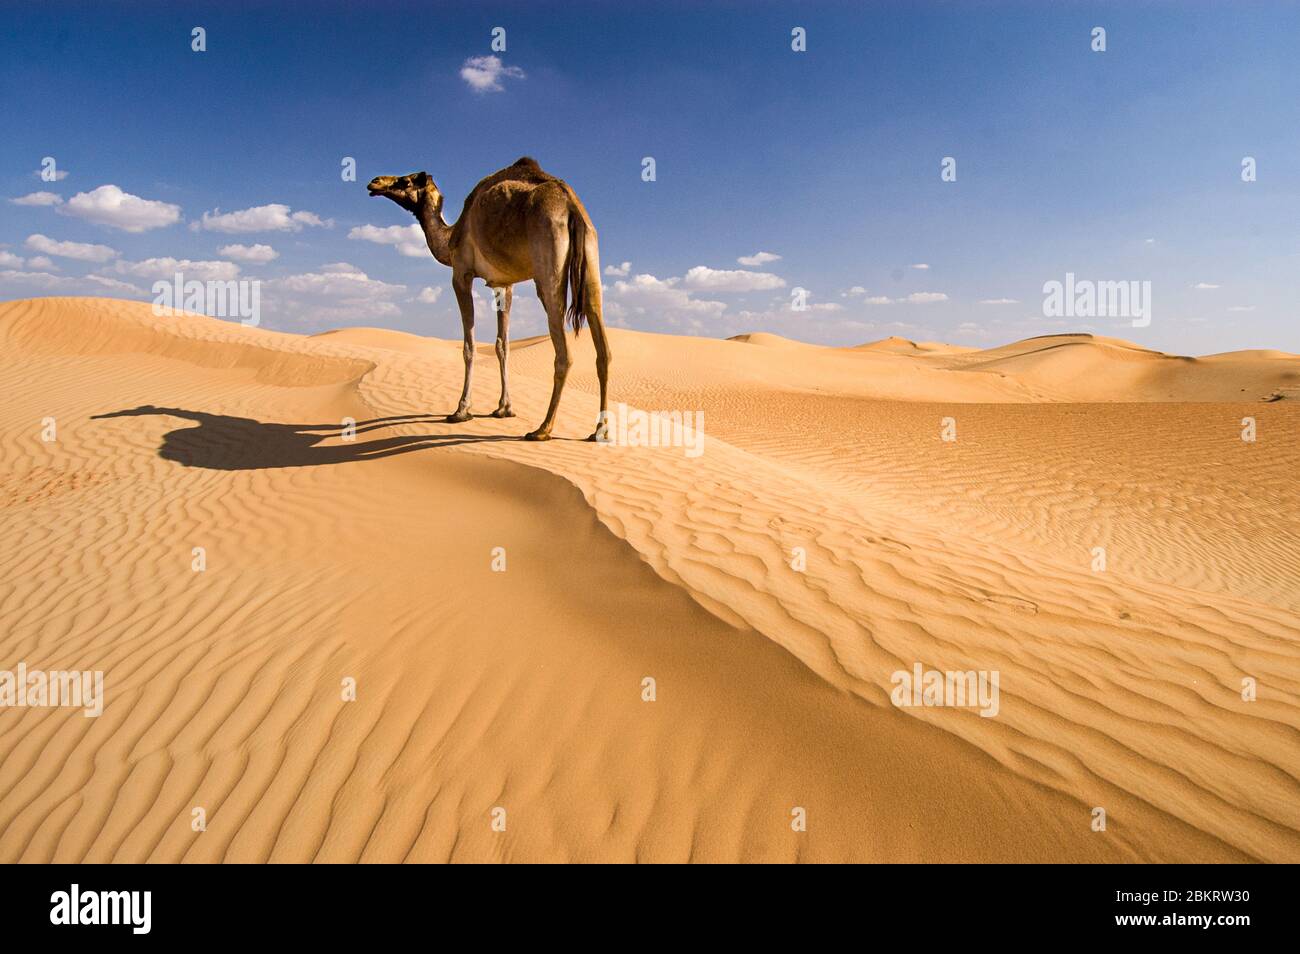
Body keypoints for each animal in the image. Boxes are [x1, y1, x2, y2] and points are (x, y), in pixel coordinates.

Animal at [367, 157, 610, 441]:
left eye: (405, 181)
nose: (374, 182)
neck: (450, 237)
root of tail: (572, 207)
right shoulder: (504, 285)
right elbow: (502, 345)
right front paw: (504, 408)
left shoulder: (460, 273)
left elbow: (469, 345)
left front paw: (461, 410)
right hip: (591, 259)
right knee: (602, 342)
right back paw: (599, 430)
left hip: (548, 262)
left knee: (563, 352)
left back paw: (542, 429)